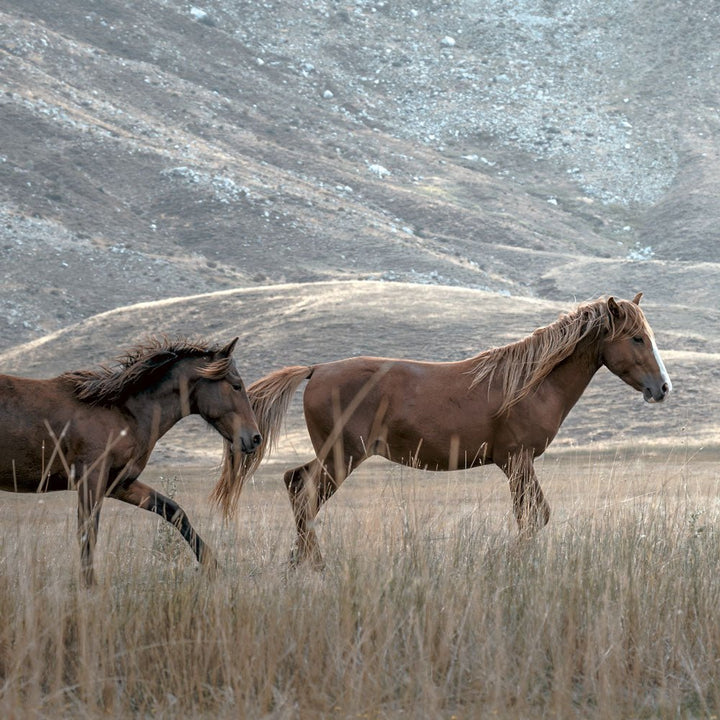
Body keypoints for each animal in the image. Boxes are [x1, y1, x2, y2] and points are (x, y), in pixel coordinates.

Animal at [0, 337, 261, 585]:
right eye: (236, 385)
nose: (255, 438)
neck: (123, 414)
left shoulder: (119, 484)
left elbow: (173, 511)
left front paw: (212, 565)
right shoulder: (91, 480)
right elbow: (88, 532)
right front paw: (89, 585)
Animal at [230, 294, 671, 568]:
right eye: (636, 338)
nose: (662, 388)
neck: (530, 383)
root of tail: (317, 369)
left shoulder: (517, 464)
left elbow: (535, 516)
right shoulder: (517, 461)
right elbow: (532, 518)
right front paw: (510, 559)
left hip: (335, 455)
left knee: (295, 484)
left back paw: (299, 561)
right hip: (342, 456)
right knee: (303, 494)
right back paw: (315, 565)